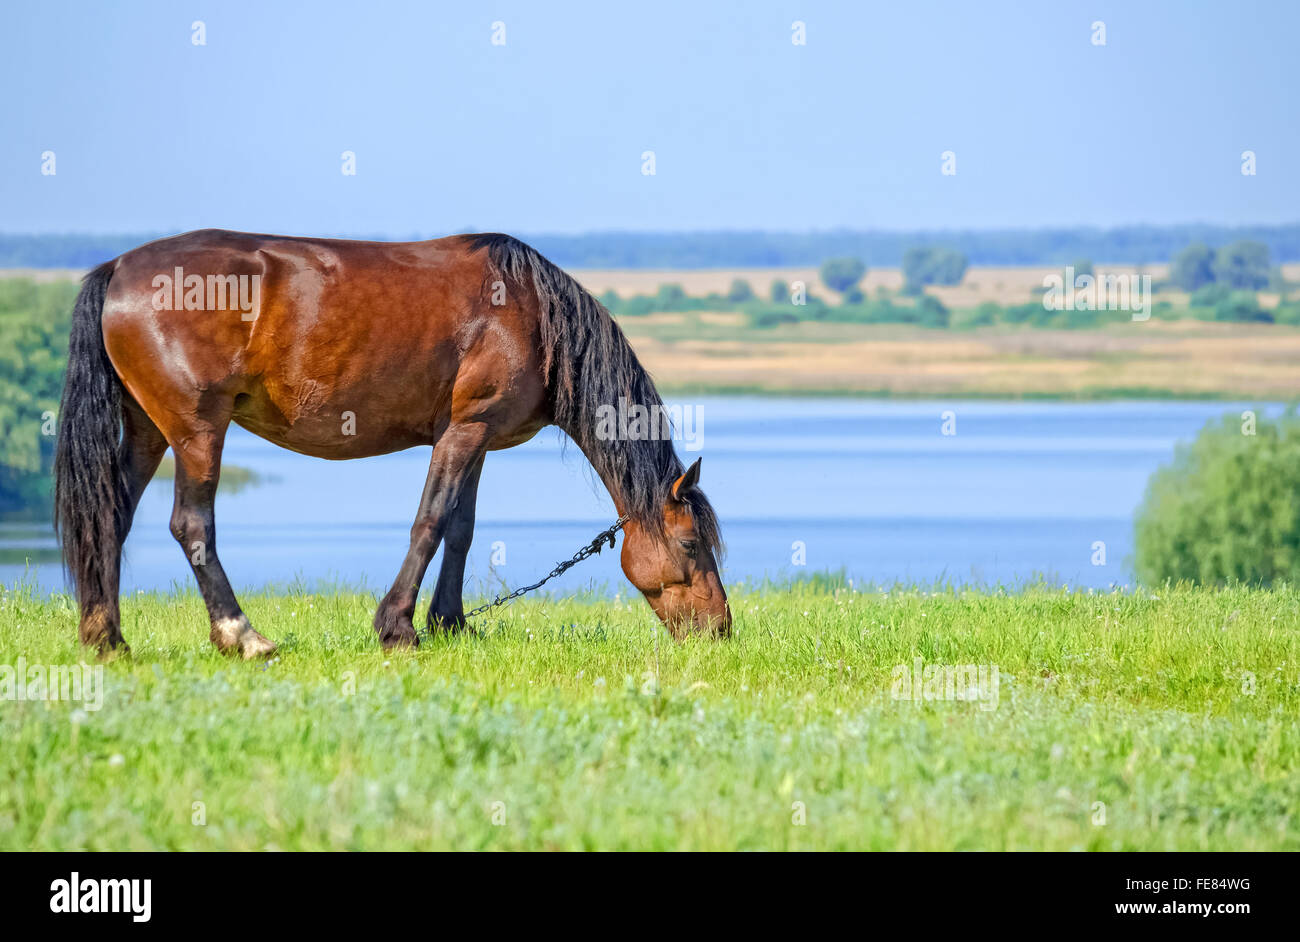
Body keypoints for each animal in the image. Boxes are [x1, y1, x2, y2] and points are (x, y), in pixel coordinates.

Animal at [53, 230, 730, 657]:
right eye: (691, 544)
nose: (721, 629)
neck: (534, 316)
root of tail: (119, 270)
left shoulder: (475, 436)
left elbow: (461, 530)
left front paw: (451, 624)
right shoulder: (464, 431)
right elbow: (429, 522)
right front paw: (397, 627)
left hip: (147, 430)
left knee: (110, 516)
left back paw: (106, 638)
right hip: (197, 432)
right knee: (191, 524)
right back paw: (241, 635)